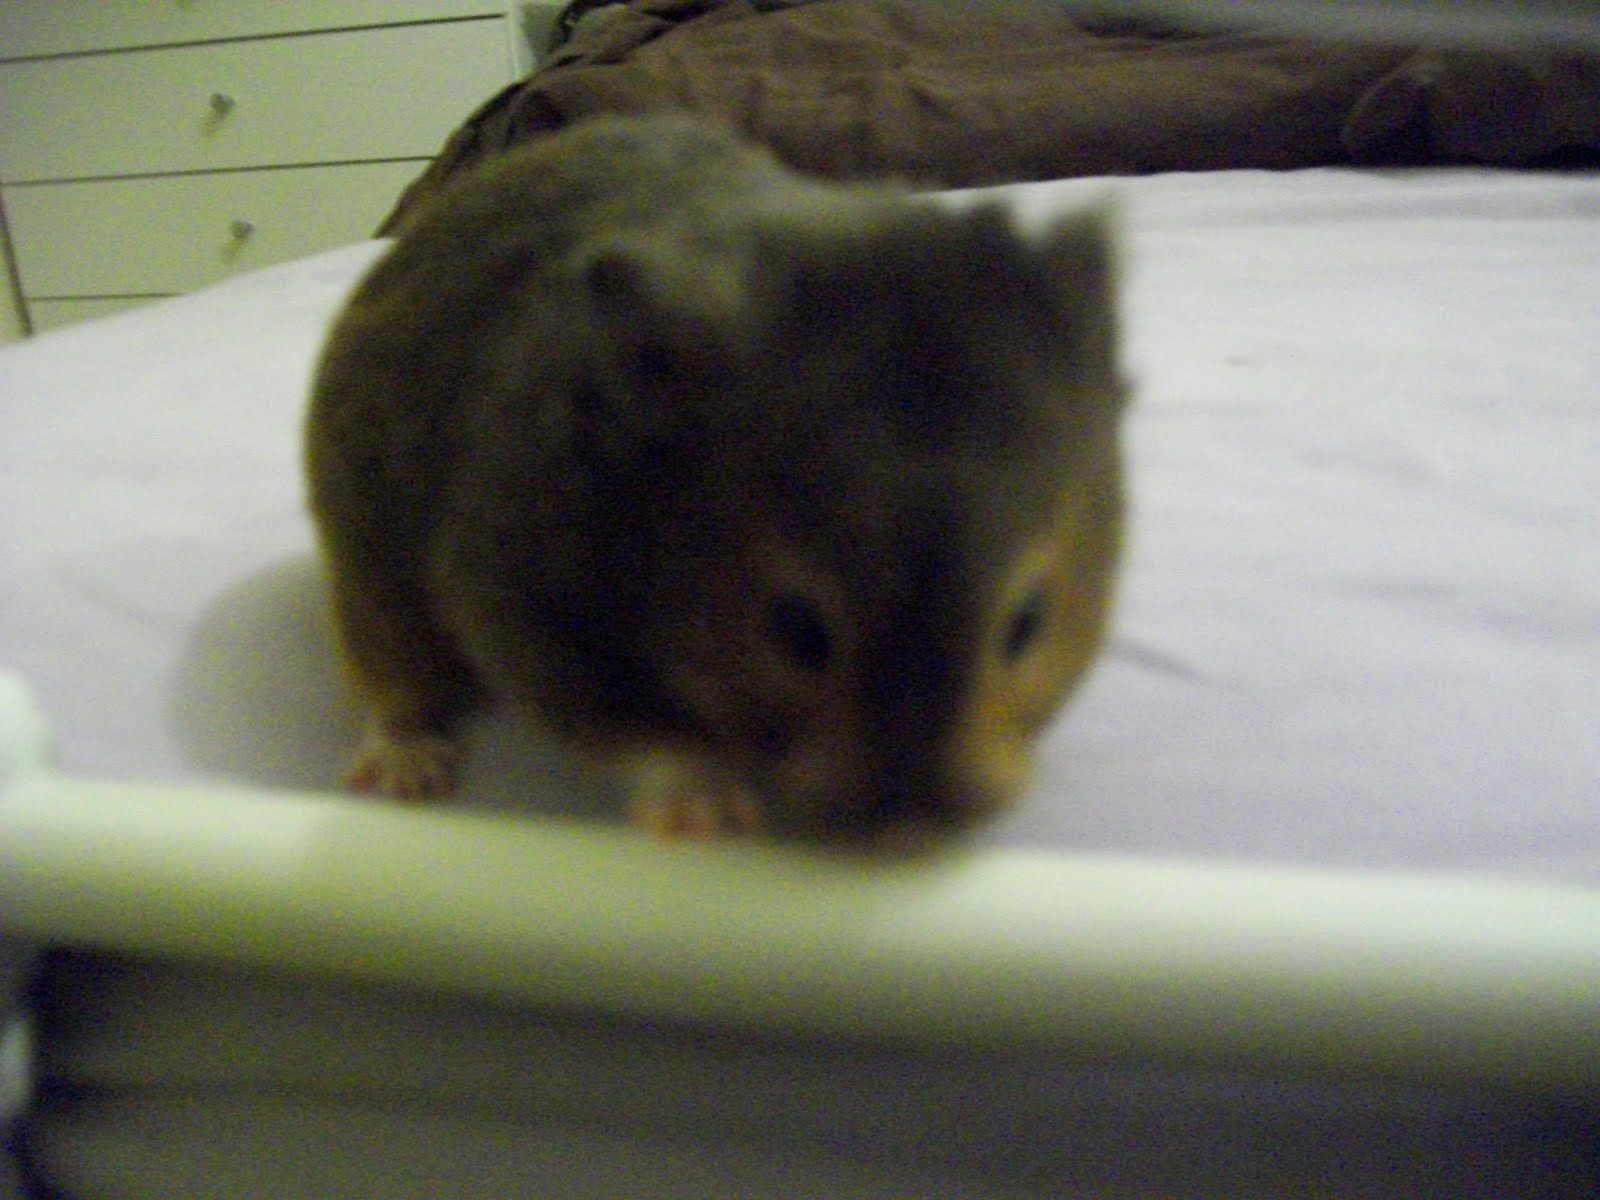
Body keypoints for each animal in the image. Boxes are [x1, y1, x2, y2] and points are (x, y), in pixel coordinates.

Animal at [305, 114, 1127, 847]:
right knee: (384, 678)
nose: (910, 837)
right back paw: (410, 770)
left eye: (1028, 622)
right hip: (369, 564)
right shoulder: (522, 607)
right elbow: (639, 738)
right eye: (796, 630)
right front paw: (712, 817)